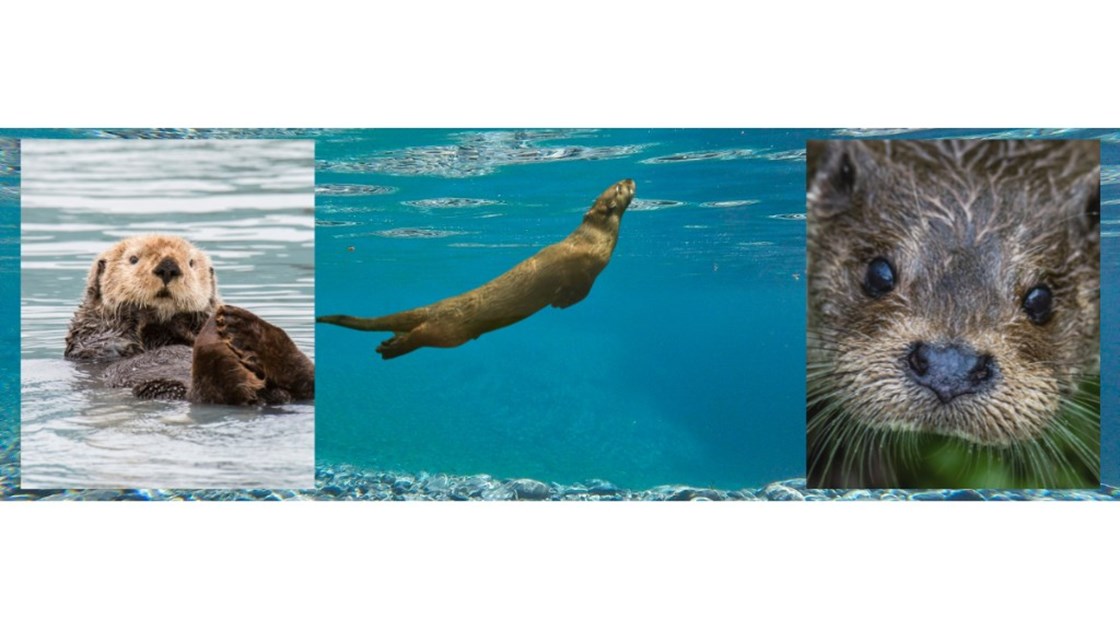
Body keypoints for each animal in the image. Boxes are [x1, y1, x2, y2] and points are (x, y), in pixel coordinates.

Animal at [65, 235, 315, 405]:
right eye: (133, 259)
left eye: (191, 263)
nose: (168, 267)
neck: (160, 330)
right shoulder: (90, 333)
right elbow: (105, 342)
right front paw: (133, 312)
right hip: (158, 387)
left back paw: (247, 331)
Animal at [318, 178, 635, 359]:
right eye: (619, 188)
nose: (630, 177)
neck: (592, 239)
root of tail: (437, 306)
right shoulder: (583, 271)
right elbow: (575, 293)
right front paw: (561, 303)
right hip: (449, 331)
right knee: (421, 334)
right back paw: (390, 348)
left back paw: (389, 344)